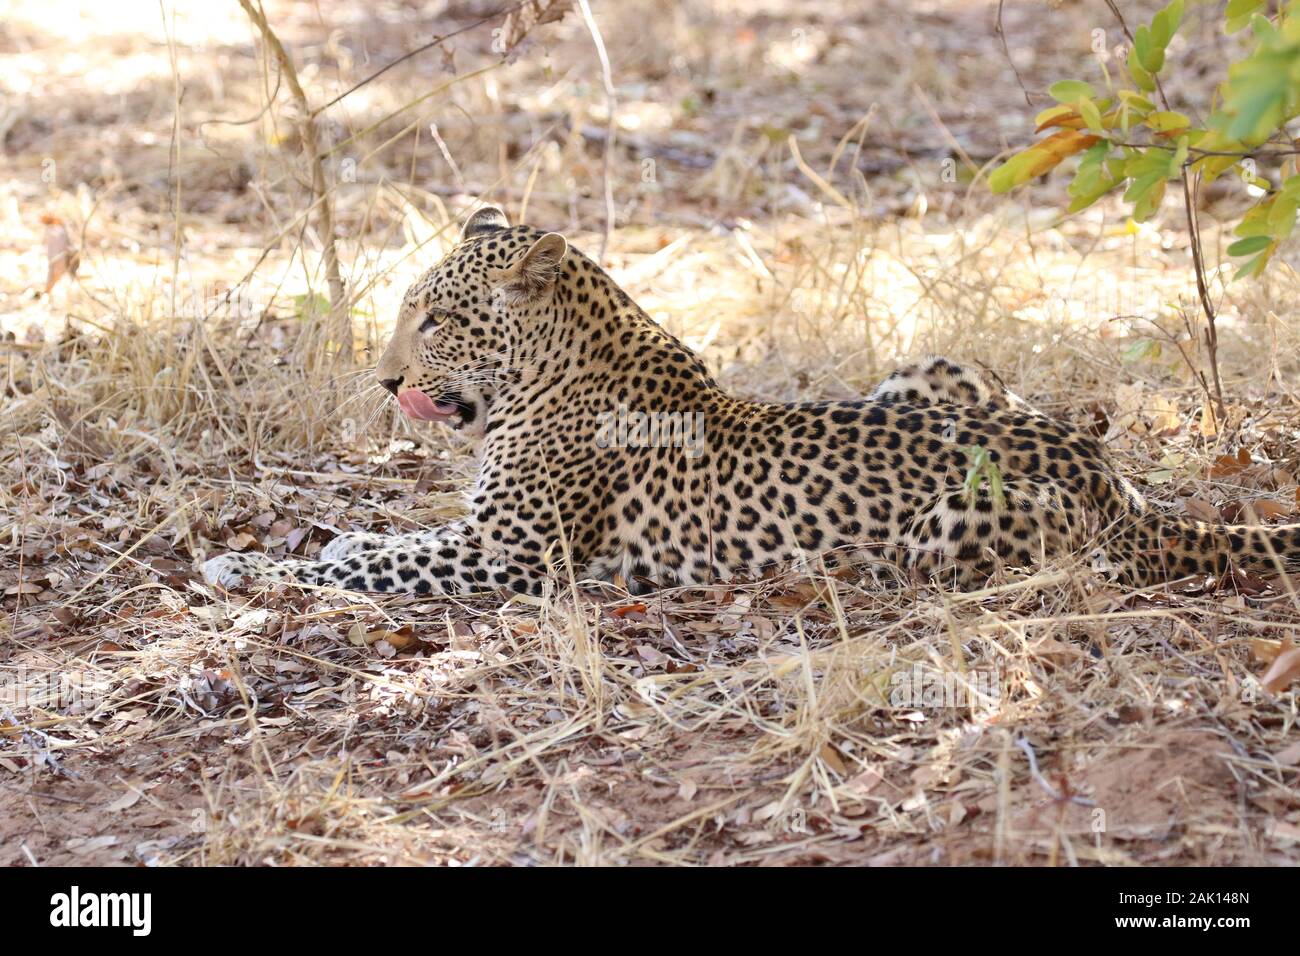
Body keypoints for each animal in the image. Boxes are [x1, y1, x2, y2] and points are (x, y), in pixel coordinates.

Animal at [200, 206, 1300, 597]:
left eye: (434, 320)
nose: (385, 382)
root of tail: (1115, 480)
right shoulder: (481, 535)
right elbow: (380, 540)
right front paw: (325, 538)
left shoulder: (512, 554)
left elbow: (372, 564)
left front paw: (247, 565)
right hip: (932, 368)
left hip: (950, 527)